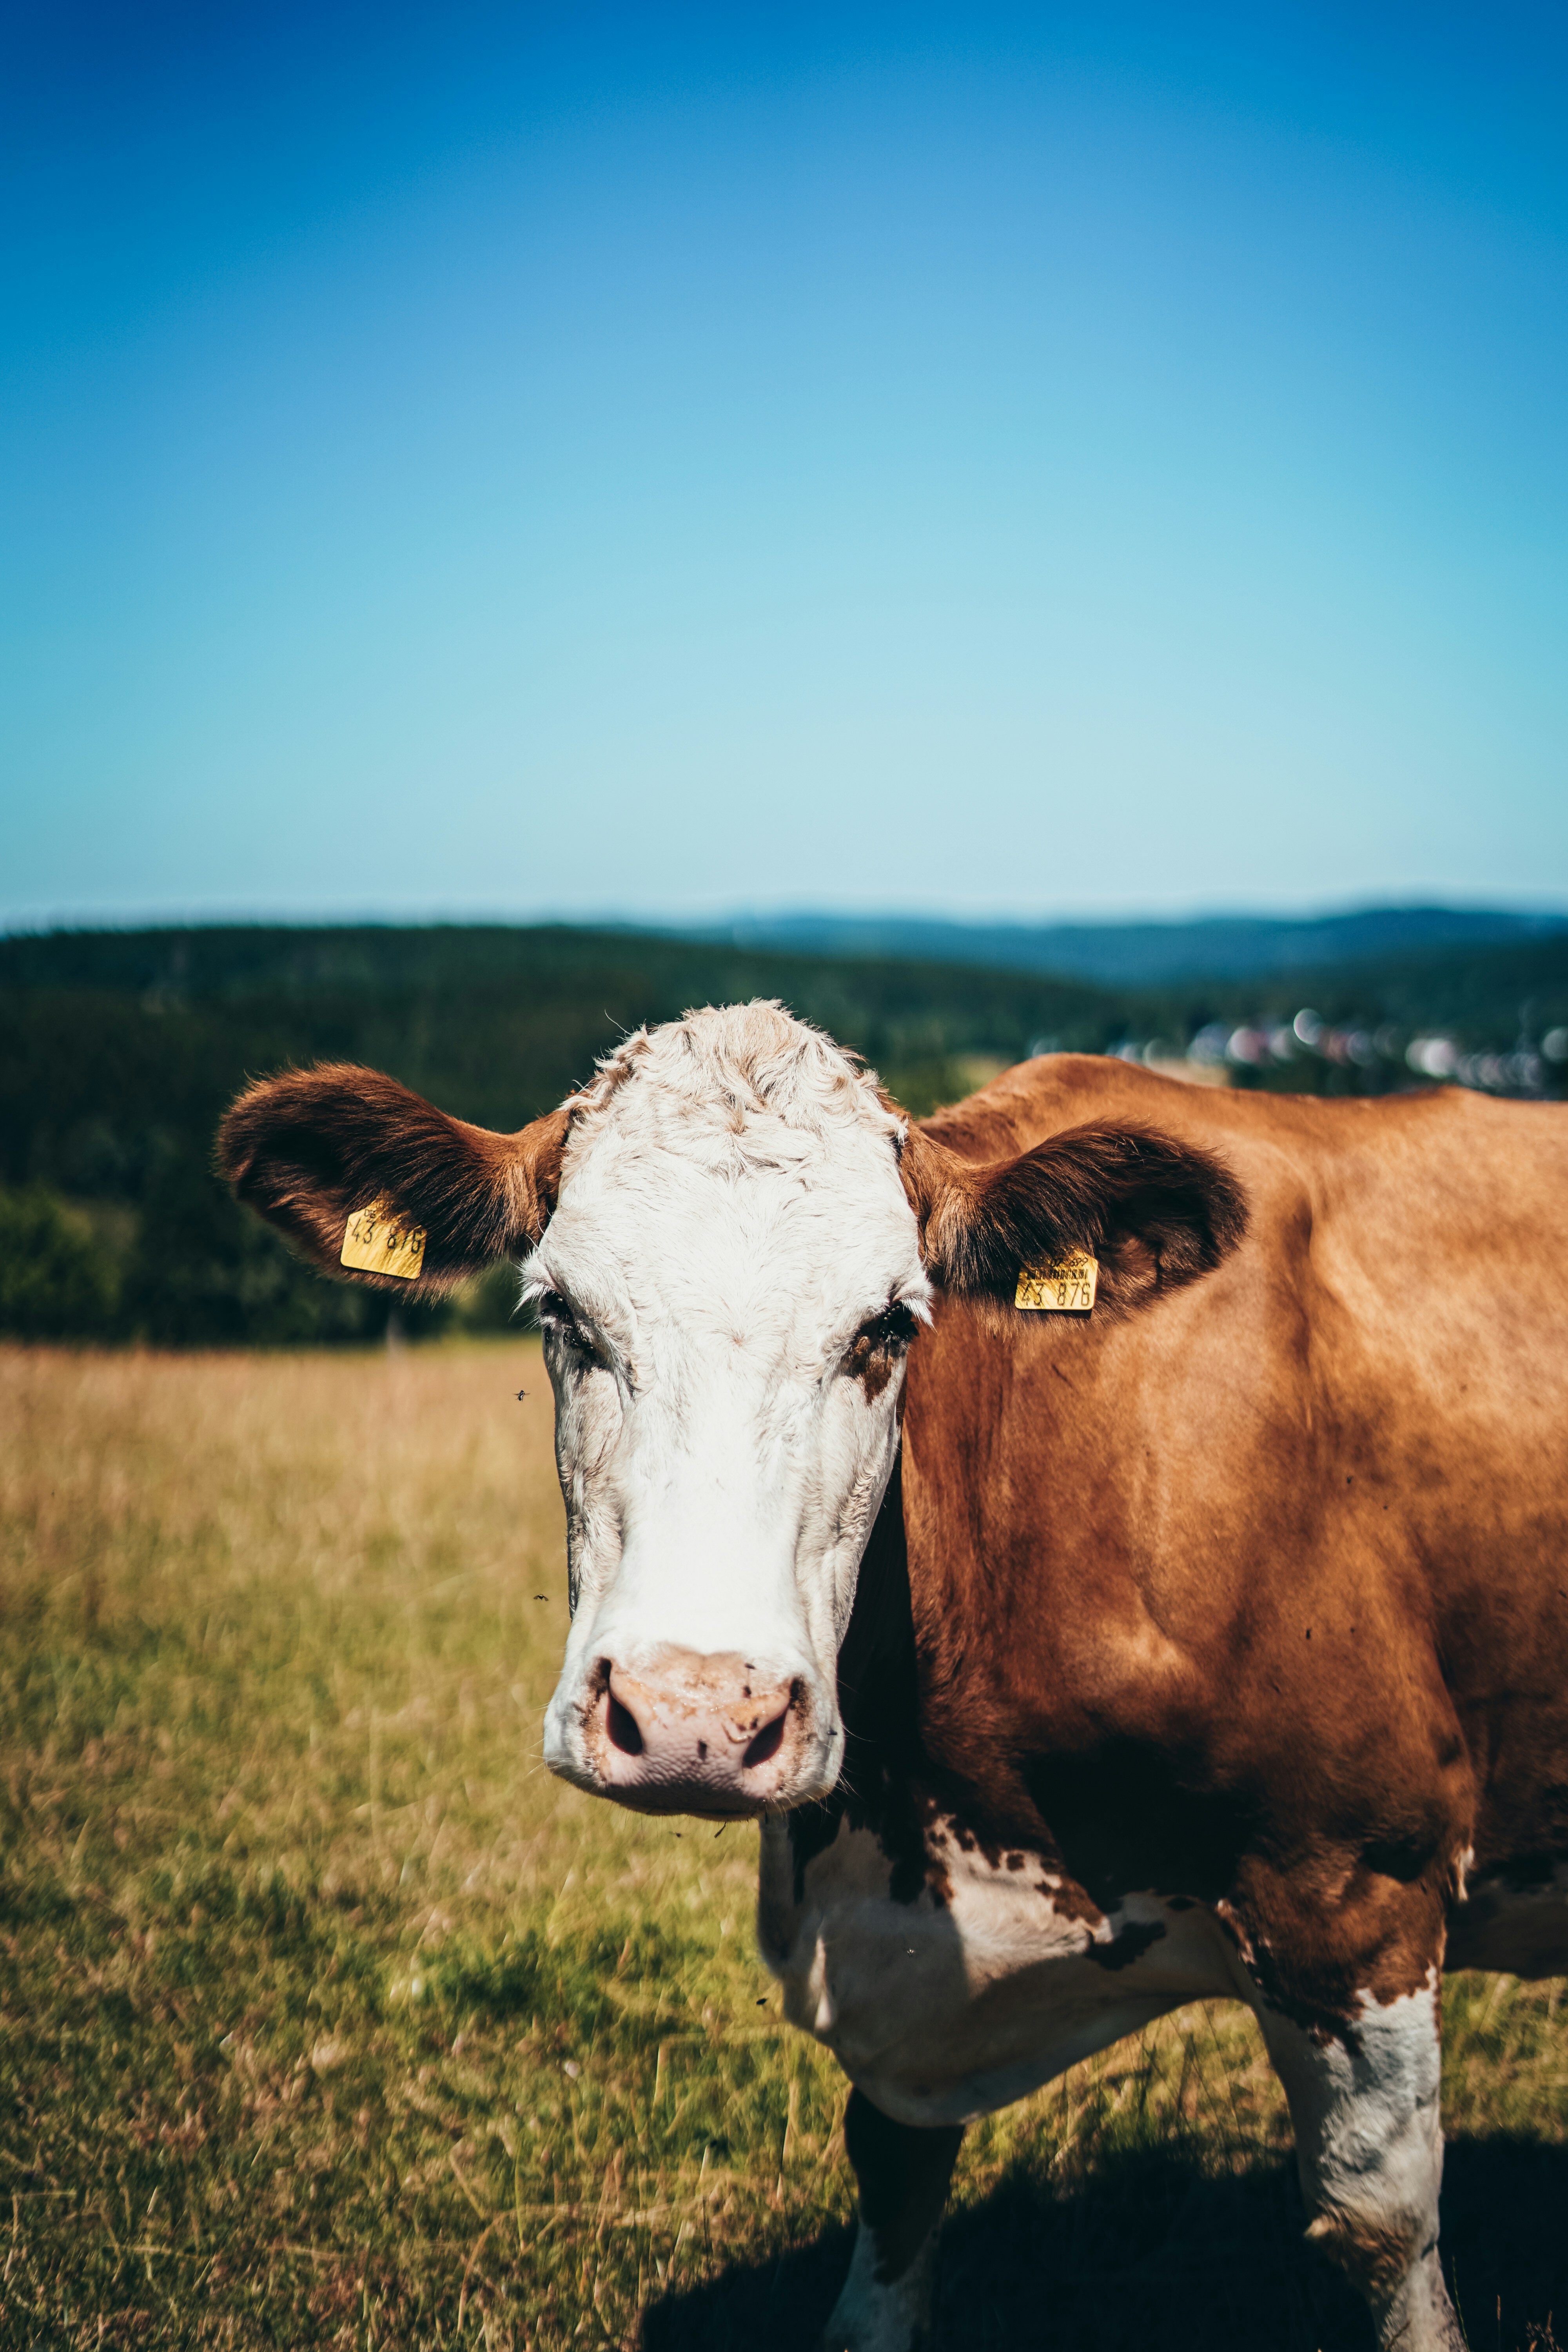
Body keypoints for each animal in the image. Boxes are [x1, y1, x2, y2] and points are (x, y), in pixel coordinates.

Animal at [217, 999, 1568, 2352]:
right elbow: (895, 2185)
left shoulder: (1358, 1884)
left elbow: (1379, 2222)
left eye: (887, 1325)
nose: (694, 1719)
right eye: (561, 1314)